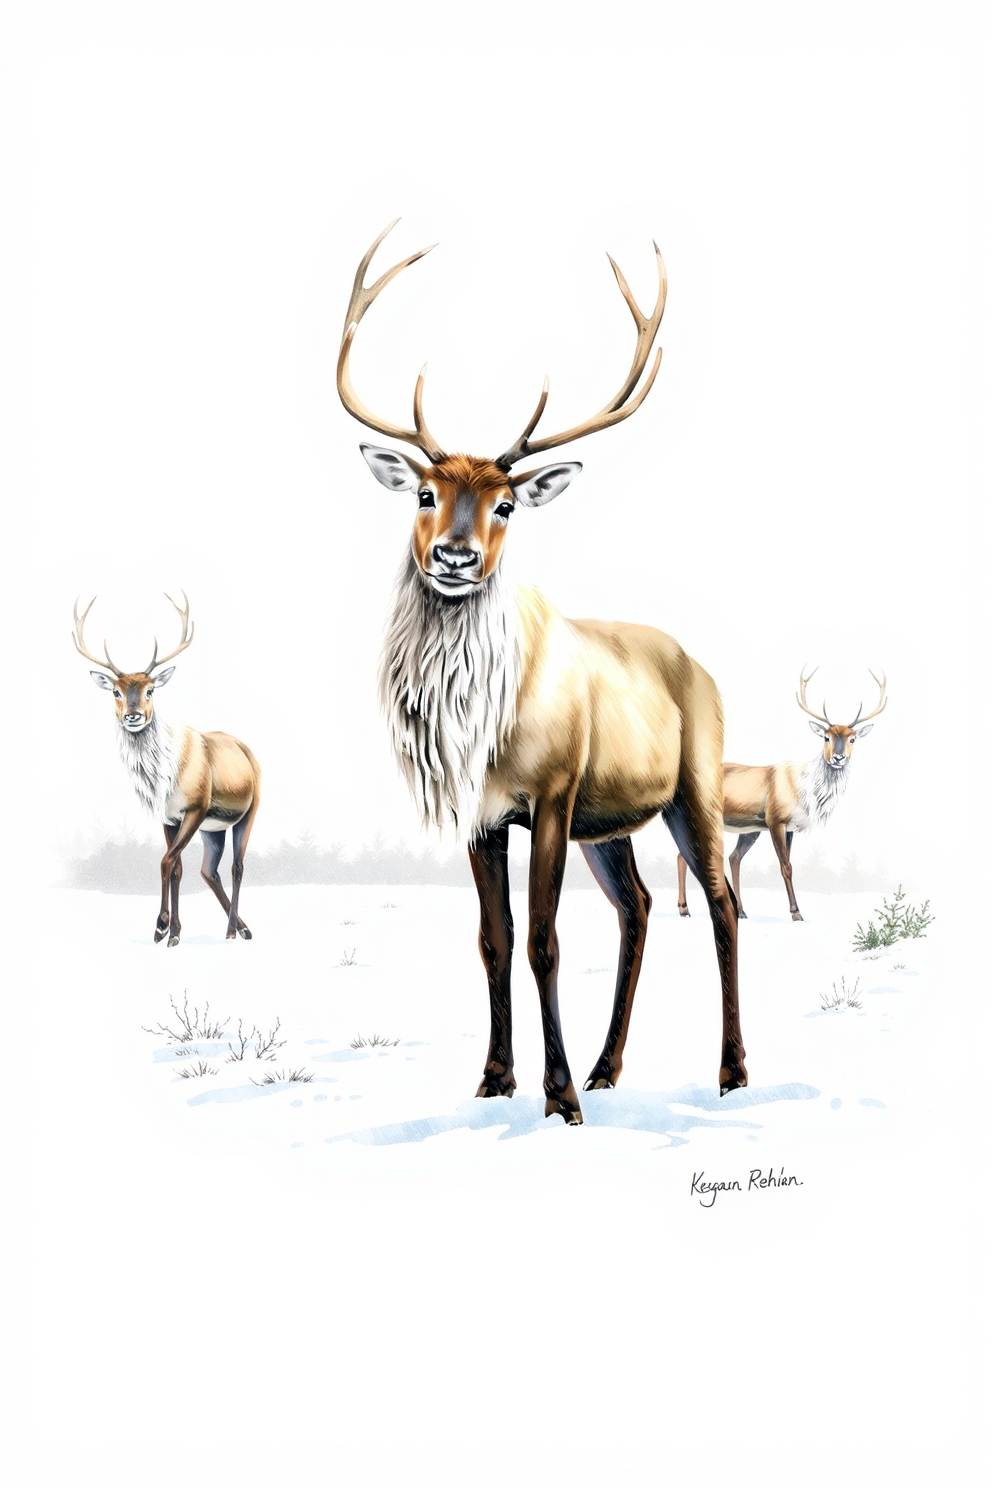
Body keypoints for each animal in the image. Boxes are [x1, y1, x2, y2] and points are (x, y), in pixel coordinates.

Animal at [72, 592, 261, 947]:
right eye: (116, 691)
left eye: (150, 690)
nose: (133, 716)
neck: (164, 780)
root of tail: (247, 751)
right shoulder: (168, 816)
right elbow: (176, 867)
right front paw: (174, 932)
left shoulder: (197, 806)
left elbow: (165, 861)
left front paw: (161, 926)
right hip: (212, 829)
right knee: (209, 870)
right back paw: (242, 927)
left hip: (250, 809)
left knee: (237, 866)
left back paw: (233, 930)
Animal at [336, 221, 746, 1124]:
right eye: (423, 492)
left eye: (506, 504)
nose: (456, 557)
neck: (482, 728)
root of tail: (701, 668)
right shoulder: (484, 814)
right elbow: (492, 942)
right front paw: (496, 1080)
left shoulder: (553, 793)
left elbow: (543, 940)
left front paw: (557, 1100)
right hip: (615, 820)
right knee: (639, 908)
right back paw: (607, 1067)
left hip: (695, 784)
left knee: (724, 904)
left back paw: (731, 1072)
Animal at [676, 667, 886, 921]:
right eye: (826, 736)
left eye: (852, 739)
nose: (838, 758)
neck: (807, 794)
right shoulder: (775, 820)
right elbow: (786, 867)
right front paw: (796, 912)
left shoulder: (789, 828)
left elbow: (787, 863)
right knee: (684, 854)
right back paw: (684, 908)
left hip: (749, 830)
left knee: (732, 857)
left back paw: (740, 910)